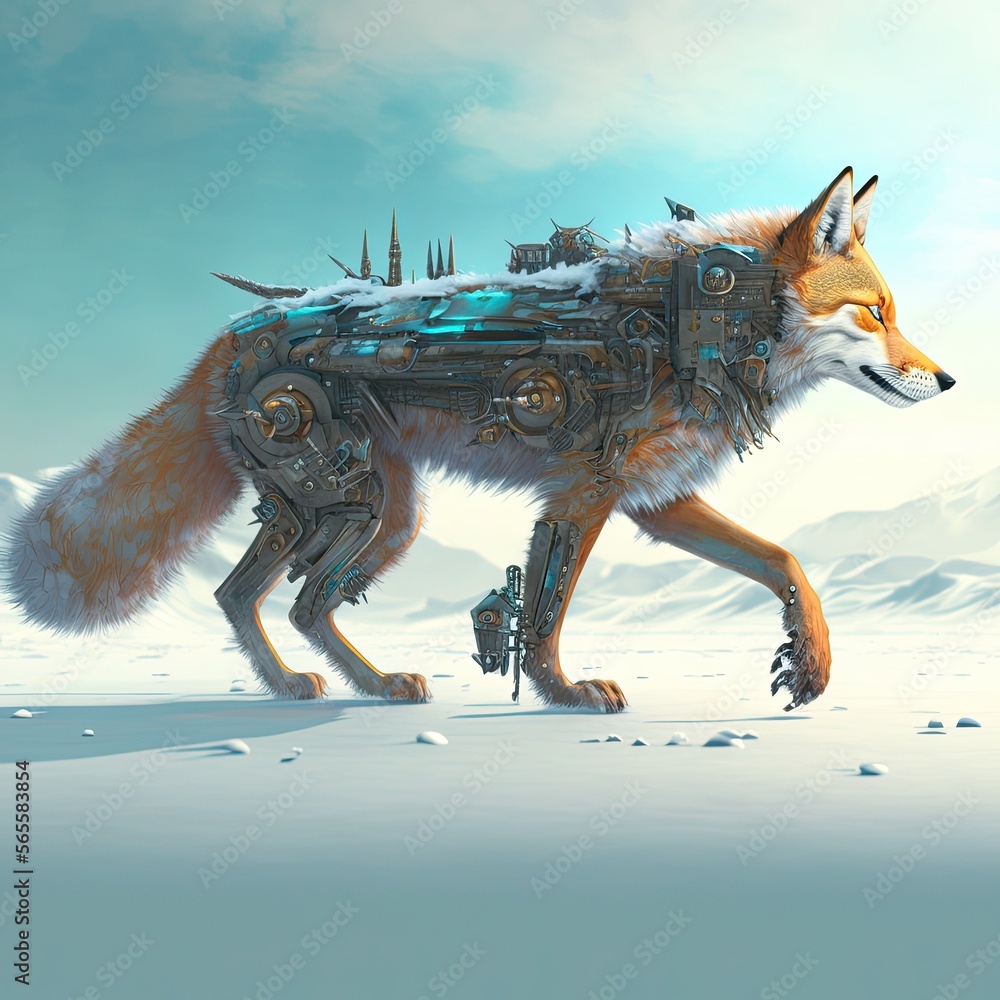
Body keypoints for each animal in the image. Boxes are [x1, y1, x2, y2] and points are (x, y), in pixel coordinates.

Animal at [2, 167, 954, 713]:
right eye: (876, 314)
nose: (946, 382)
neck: (700, 310)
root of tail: (236, 329)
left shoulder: (654, 502)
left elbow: (786, 562)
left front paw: (811, 664)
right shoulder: (583, 496)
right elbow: (545, 617)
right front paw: (563, 694)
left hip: (378, 516)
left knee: (264, 598)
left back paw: (347, 687)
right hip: (357, 506)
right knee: (267, 596)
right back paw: (327, 687)